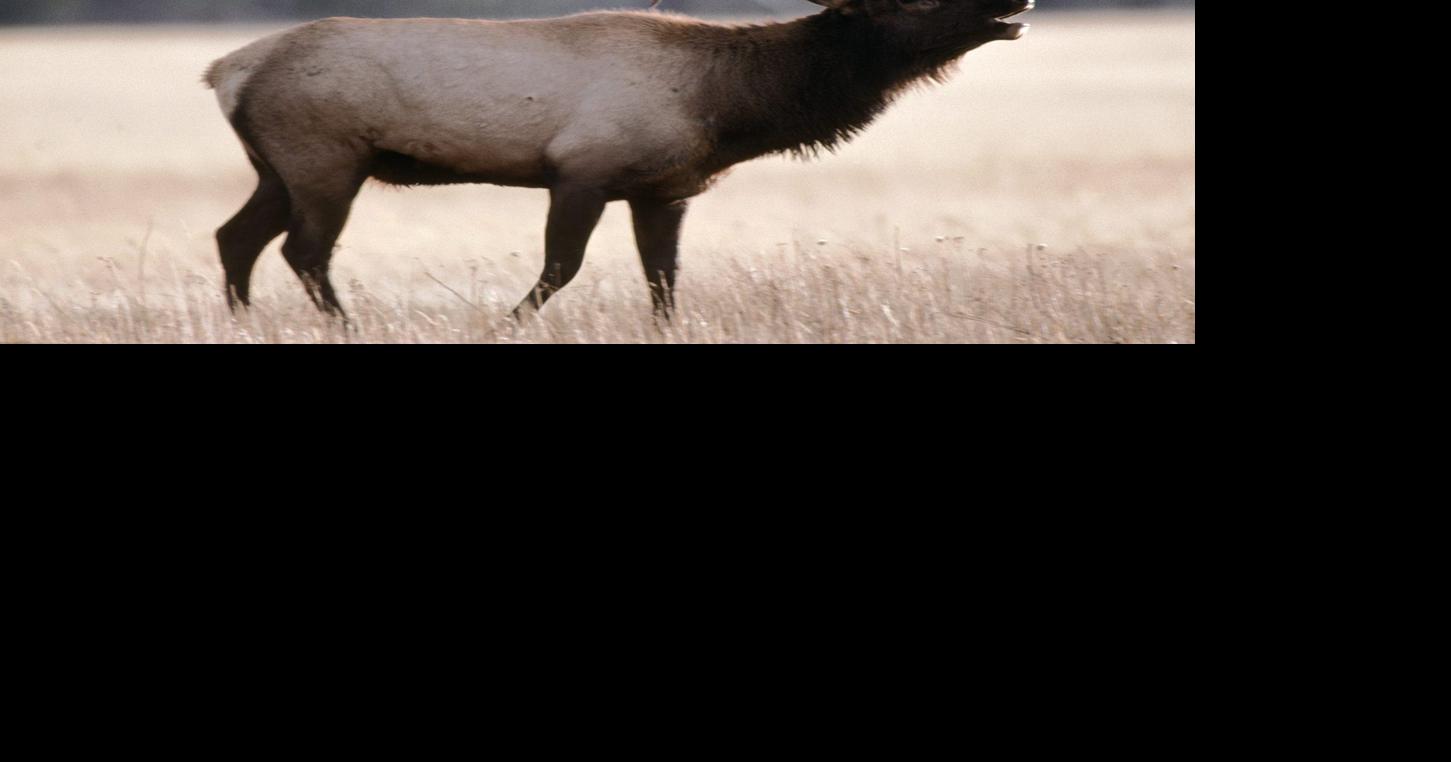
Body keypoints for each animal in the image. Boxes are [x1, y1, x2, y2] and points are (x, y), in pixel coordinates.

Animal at [206, 0, 1033, 320]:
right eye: (915, 2)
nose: (1011, 5)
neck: (728, 109)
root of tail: (227, 71)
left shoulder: (663, 188)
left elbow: (663, 277)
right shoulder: (583, 170)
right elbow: (559, 268)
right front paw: (502, 323)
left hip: (277, 166)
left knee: (235, 236)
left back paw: (244, 320)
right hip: (324, 156)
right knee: (303, 249)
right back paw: (343, 325)